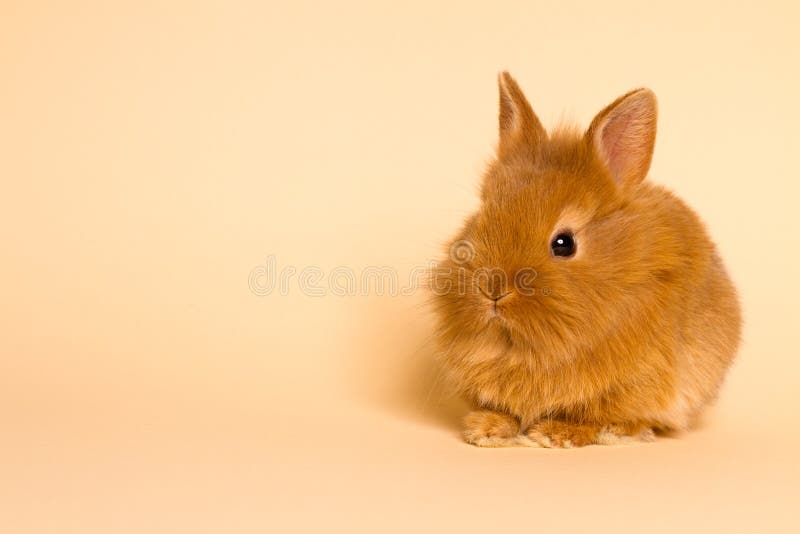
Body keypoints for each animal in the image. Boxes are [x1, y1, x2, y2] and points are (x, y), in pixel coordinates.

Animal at [431, 72, 741, 447]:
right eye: (482, 216)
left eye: (564, 244)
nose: (492, 289)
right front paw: (487, 428)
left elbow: (599, 416)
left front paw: (557, 434)